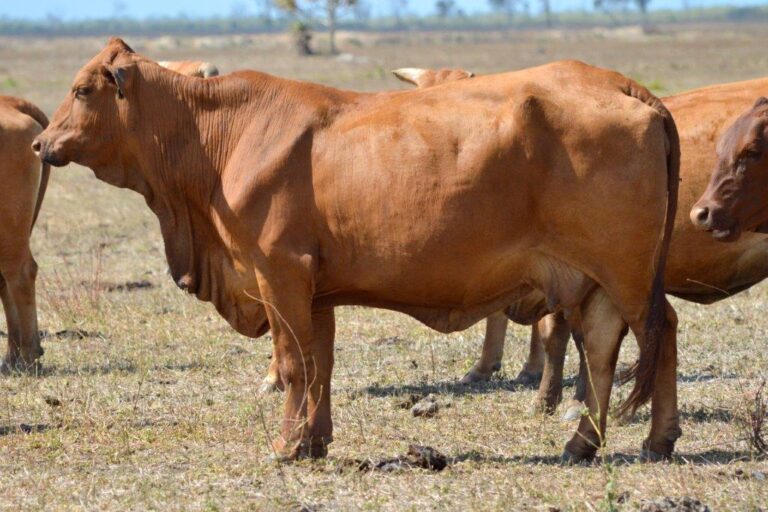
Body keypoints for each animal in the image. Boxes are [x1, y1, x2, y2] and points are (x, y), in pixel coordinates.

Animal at [33, 38, 680, 462]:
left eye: (82, 89)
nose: (41, 143)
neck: (222, 133)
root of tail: (626, 86)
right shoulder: (316, 290)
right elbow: (320, 364)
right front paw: (314, 439)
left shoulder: (279, 274)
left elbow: (293, 364)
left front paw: (286, 444)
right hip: (594, 283)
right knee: (604, 351)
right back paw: (590, 442)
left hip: (624, 275)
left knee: (658, 332)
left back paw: (654, 437)